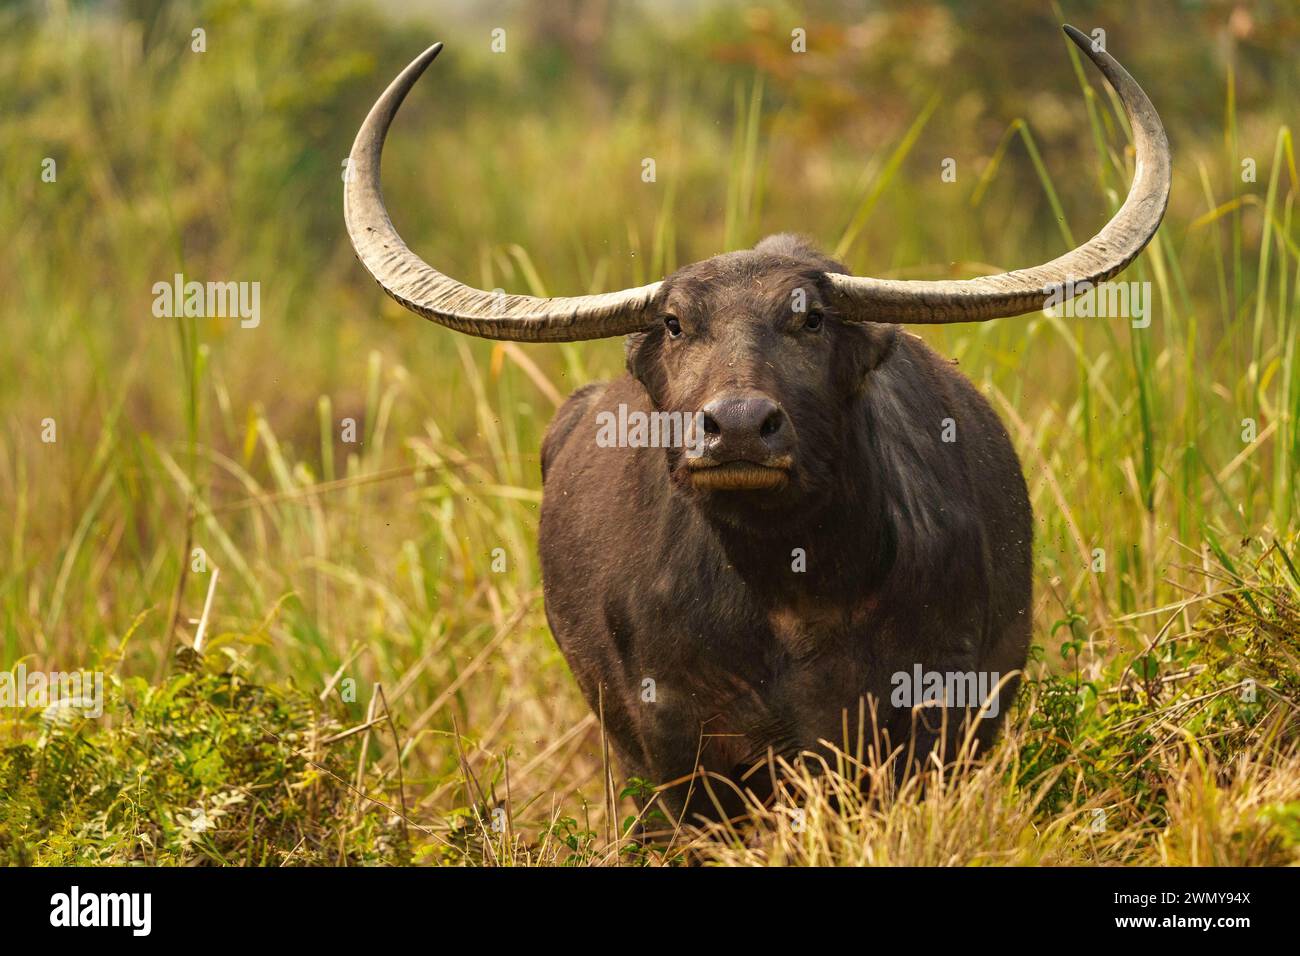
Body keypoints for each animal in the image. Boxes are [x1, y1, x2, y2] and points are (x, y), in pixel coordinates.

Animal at [344, 25, 1170, 823]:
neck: (794, 591)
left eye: (810, 319)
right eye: (675, 323)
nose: (738, 427)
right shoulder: (673, 743)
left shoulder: (936, 717)